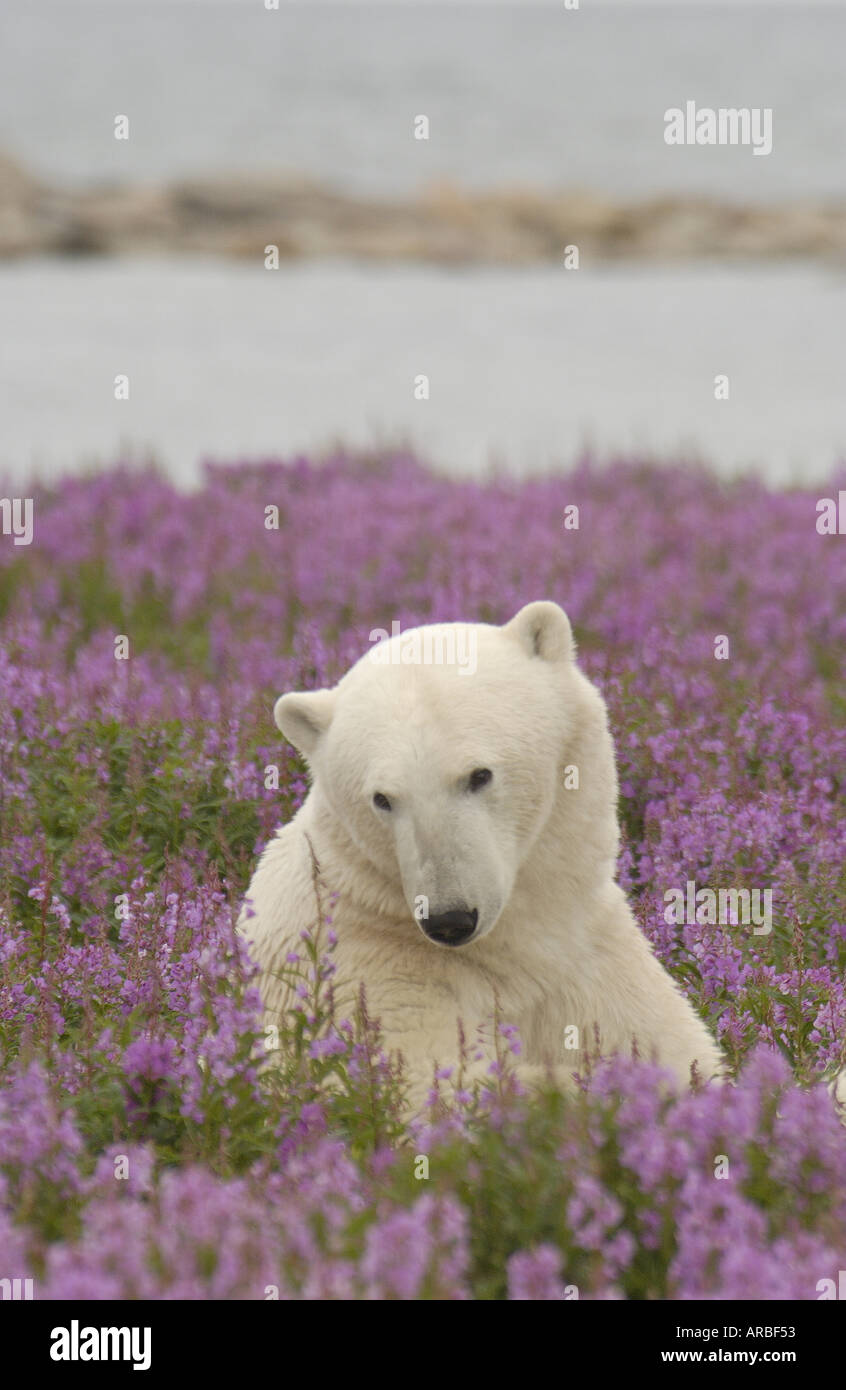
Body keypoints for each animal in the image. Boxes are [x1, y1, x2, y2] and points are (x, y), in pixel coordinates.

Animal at [240, 601, 724, 1111]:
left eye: (479, 775)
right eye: (382, 798)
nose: (449, 919)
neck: (515, 948)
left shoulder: (590, 957)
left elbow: (678, 1049)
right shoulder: (361, 972)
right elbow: (423, 1082)